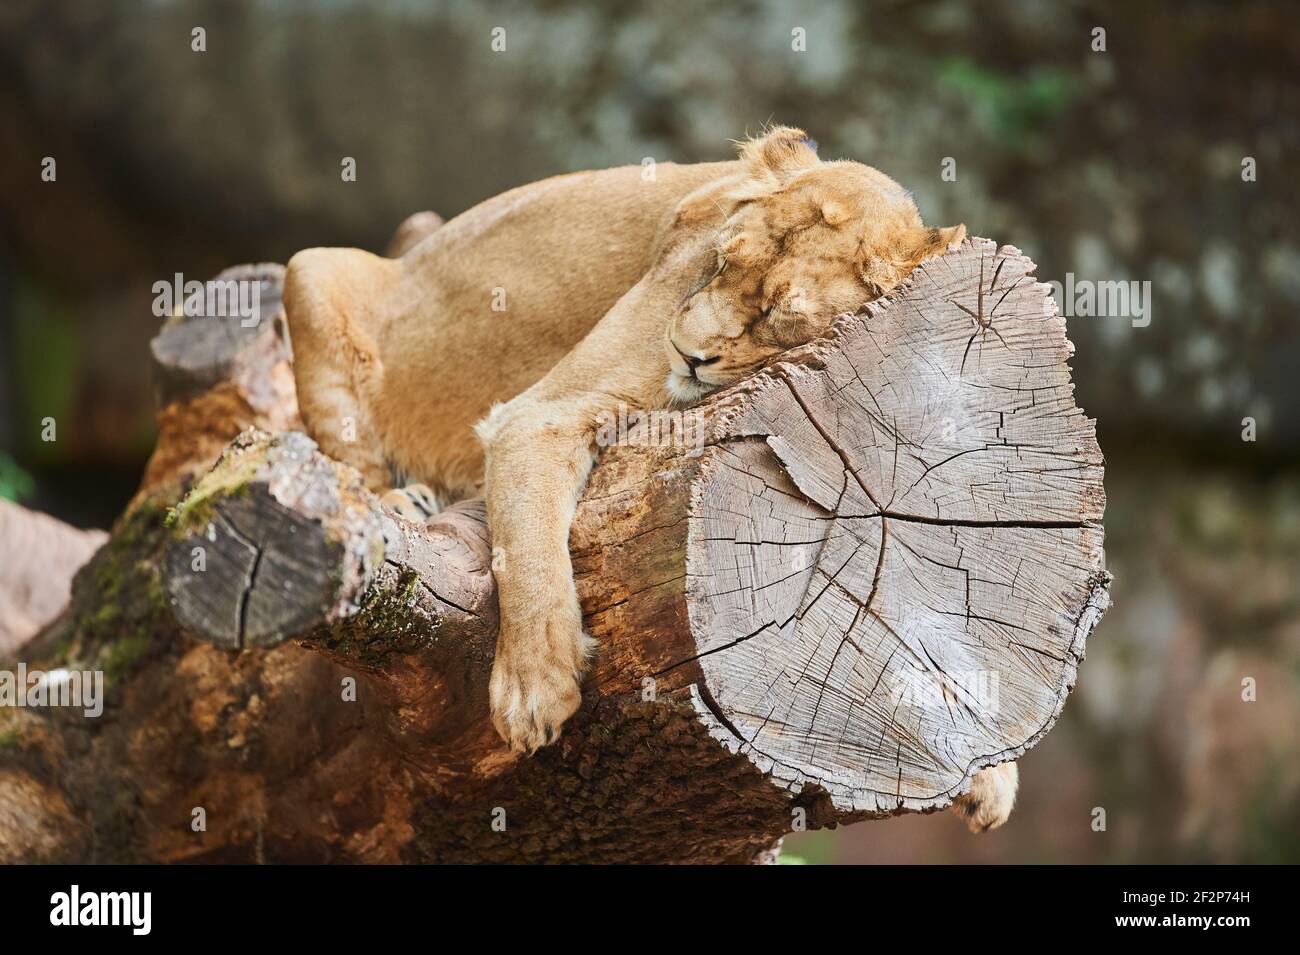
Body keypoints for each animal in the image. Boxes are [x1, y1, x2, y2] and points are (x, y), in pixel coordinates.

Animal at [284, 127, 1015, 831]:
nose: (685, 353)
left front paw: (991, 771)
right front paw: (533, 689)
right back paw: (404, 496)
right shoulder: (535, 414)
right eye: (722, 260)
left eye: (778, 316)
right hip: (310, 268)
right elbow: (529, 551)